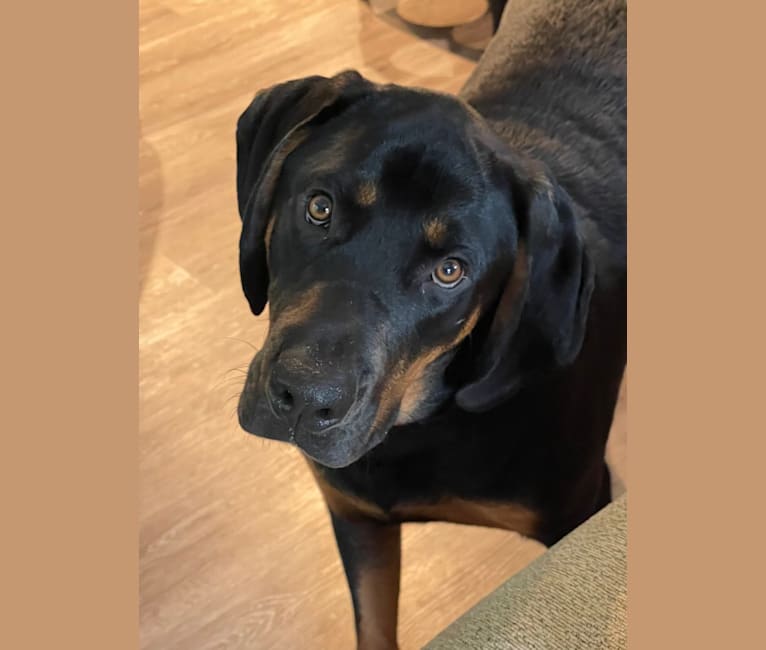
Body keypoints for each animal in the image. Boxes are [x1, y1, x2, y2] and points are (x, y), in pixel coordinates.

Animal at [237, 0, 628, 644]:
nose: (303, 399)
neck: (417, 426)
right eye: (319, 207)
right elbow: (373, 625)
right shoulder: (356, 515)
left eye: (450, 271)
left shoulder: (578, 511)